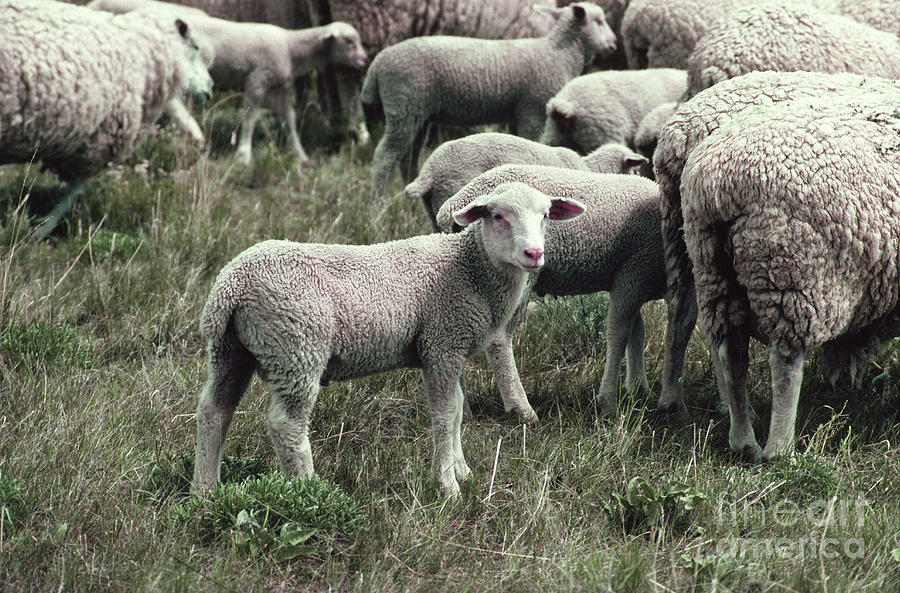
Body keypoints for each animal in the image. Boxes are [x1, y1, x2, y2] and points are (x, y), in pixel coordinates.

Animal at [0, 0, 213, 239]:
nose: (210, 88)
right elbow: (75, 189)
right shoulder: (101, 140)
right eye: (195, 47)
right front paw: (43, 227)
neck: (142, 49)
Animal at [90, 0, 368, 166]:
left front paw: (300, 154)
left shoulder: (278, 88)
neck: (291, 48)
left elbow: (289, 119)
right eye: (349, 41)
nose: (365, 60)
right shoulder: (256, 81)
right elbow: (250, 117)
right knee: (172, 101)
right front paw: (244, 155)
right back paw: (193, 132)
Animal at [191, 182, 586, 497]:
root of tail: (232, 282)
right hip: (297, 349)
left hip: (232, 350)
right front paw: (448, 486)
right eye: (498, 216)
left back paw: (204, 491)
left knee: (214, 411)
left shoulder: (451, 348)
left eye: (546, 216)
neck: (470, 271)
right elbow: (445, 415)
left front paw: (462, 471)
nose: (534, 254)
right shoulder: (442, 343)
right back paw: (310, 489)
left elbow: (458, 409)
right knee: (286, 425)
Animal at [361, 2, 618, 199]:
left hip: (418, 114)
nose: (614, 44)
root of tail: (378, 63)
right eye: (599, 21)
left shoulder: (517, 113)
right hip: (404, 105)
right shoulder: (533, 110)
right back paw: (378, 201)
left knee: (408, 157)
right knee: (385, 156)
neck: (560, 53)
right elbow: (532, 140)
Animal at [435, 165, 666, 420]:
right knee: (499, 338)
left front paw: (638, 388)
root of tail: (452, 207)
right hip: (519, 276)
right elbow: (620, 332)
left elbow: (638, 330)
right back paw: (522, 409)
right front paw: (610, 403)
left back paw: (464, 412)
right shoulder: (634, 269)